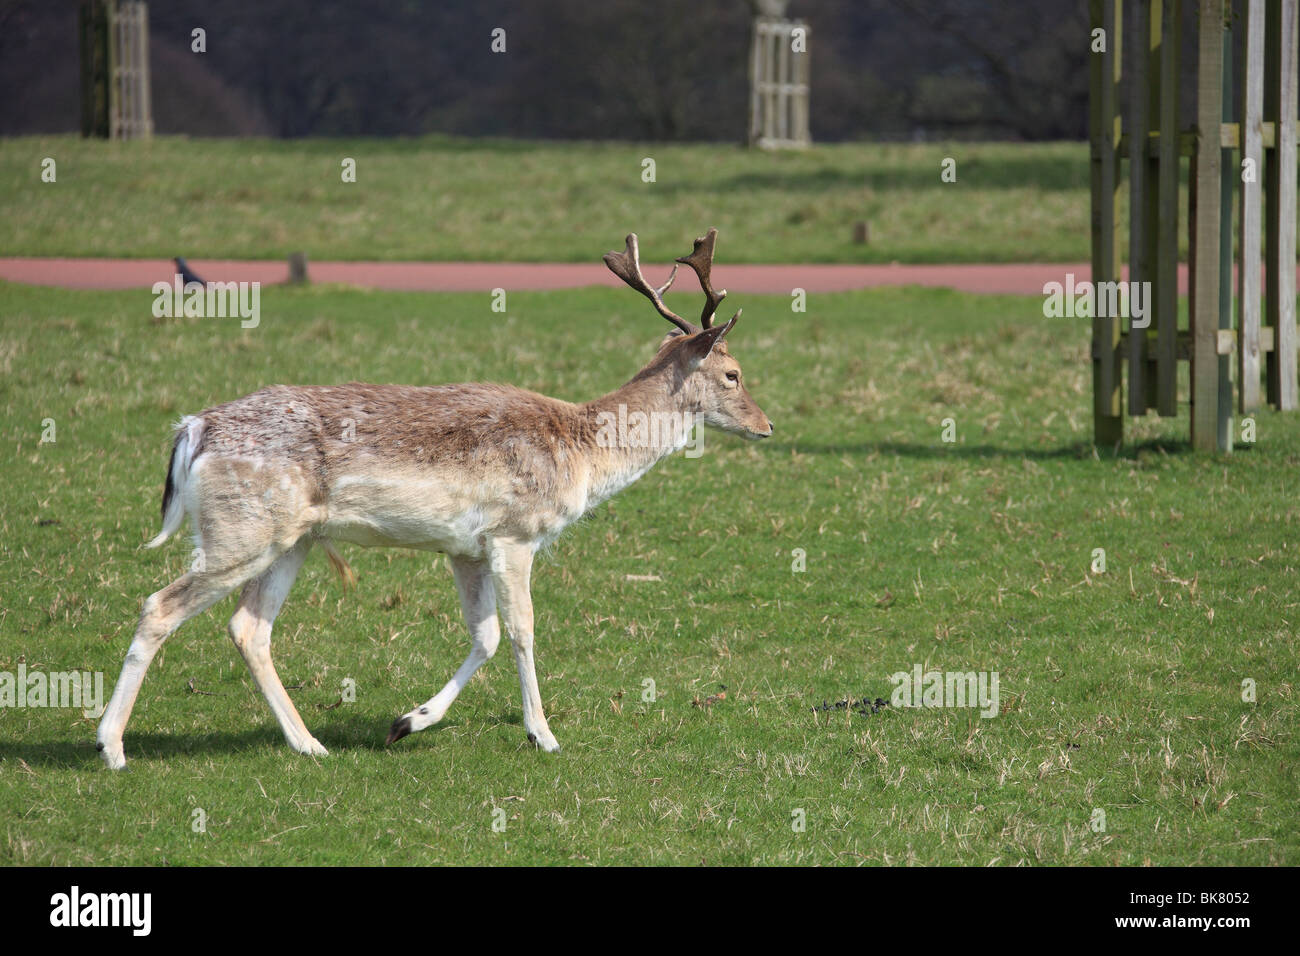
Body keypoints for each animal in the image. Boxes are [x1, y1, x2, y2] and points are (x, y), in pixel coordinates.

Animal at [96, 228, 773, 770]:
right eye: (734, 374)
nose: (766, 426)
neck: (580, 453)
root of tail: (193, 429)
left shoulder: (465, 548)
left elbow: (486, 635)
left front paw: (406, 722)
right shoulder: (515, 534)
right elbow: (522, 629)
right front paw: (544, 735)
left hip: (290, 541)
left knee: (249, 627)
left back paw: (310, 744)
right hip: (240, 532)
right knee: (160, 606)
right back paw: (112, 747)